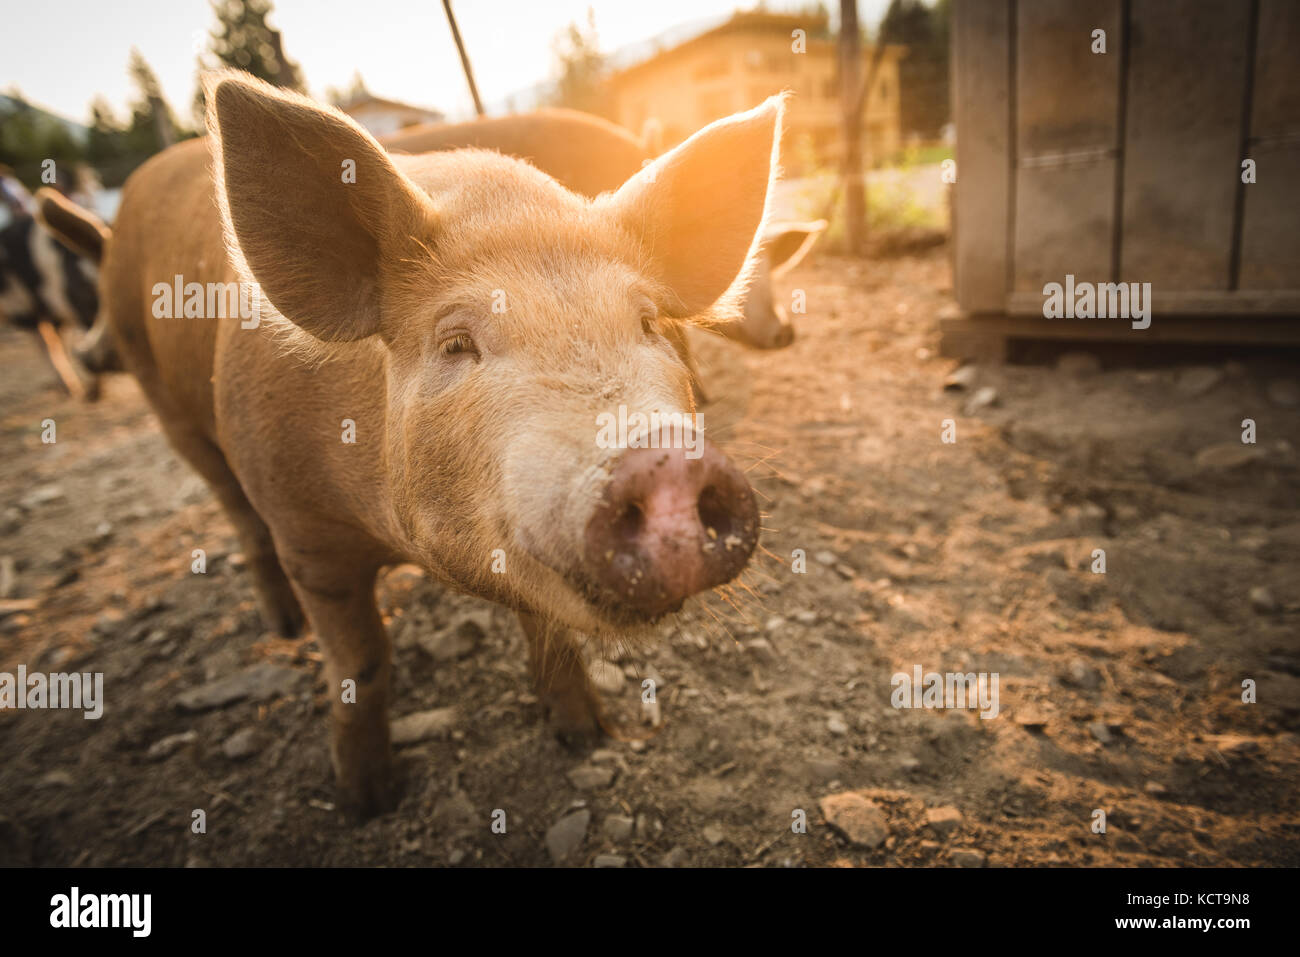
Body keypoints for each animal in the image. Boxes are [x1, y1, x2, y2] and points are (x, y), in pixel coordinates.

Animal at [55, 72, 778, 817]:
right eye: (455, 342)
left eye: (648, 323)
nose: (665, 463)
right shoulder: (306, 535)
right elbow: (362, 662)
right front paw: (365, 801)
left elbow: (548, 631)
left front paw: (585, 735)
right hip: (165, 400)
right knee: (233, 509)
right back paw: (283, 631)